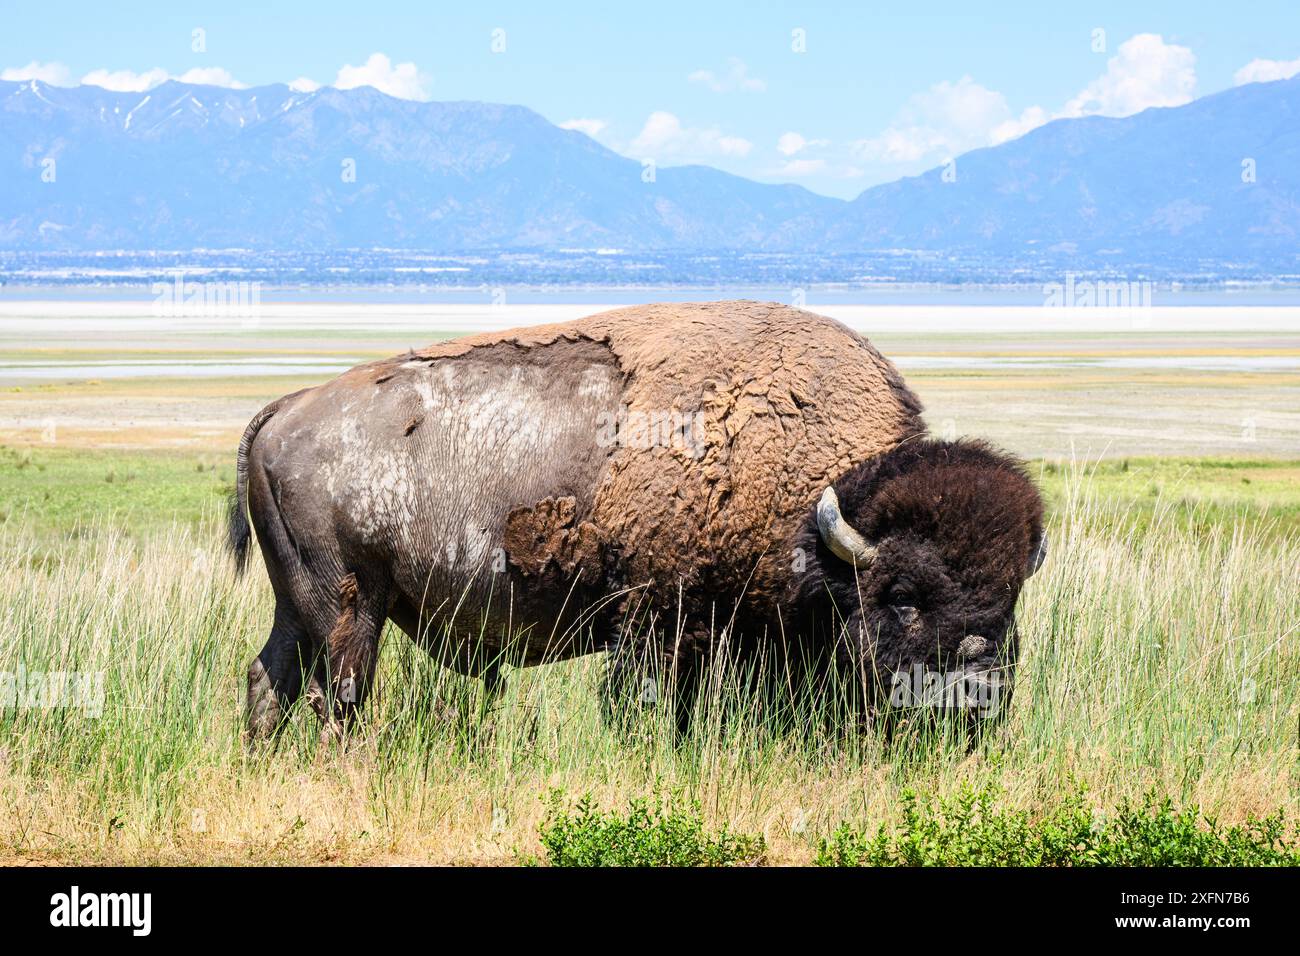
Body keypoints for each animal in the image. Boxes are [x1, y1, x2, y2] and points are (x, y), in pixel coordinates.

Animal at [230, 300, 1045, 739]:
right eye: (903, 598)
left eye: (1008, 602)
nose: (977, 698)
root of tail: (286, 406)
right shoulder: (660, 622)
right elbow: (649, 707)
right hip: (349, 603)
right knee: (336, 694)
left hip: (297, 603)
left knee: (270, 677)